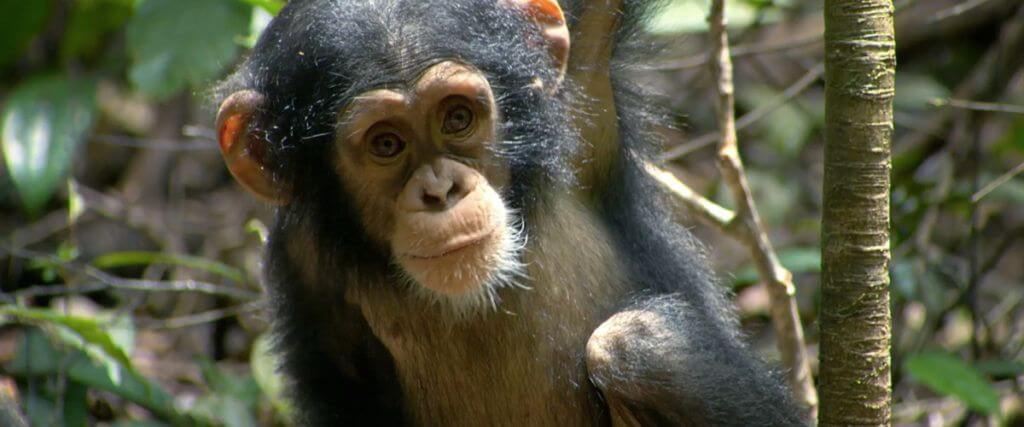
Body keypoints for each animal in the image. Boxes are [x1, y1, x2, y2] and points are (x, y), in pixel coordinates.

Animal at [214, 0, 805, 425]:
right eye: (386, 144)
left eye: (457, 117)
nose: (440, 190)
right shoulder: (303, 261)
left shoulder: (581, 89)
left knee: (636, 345)